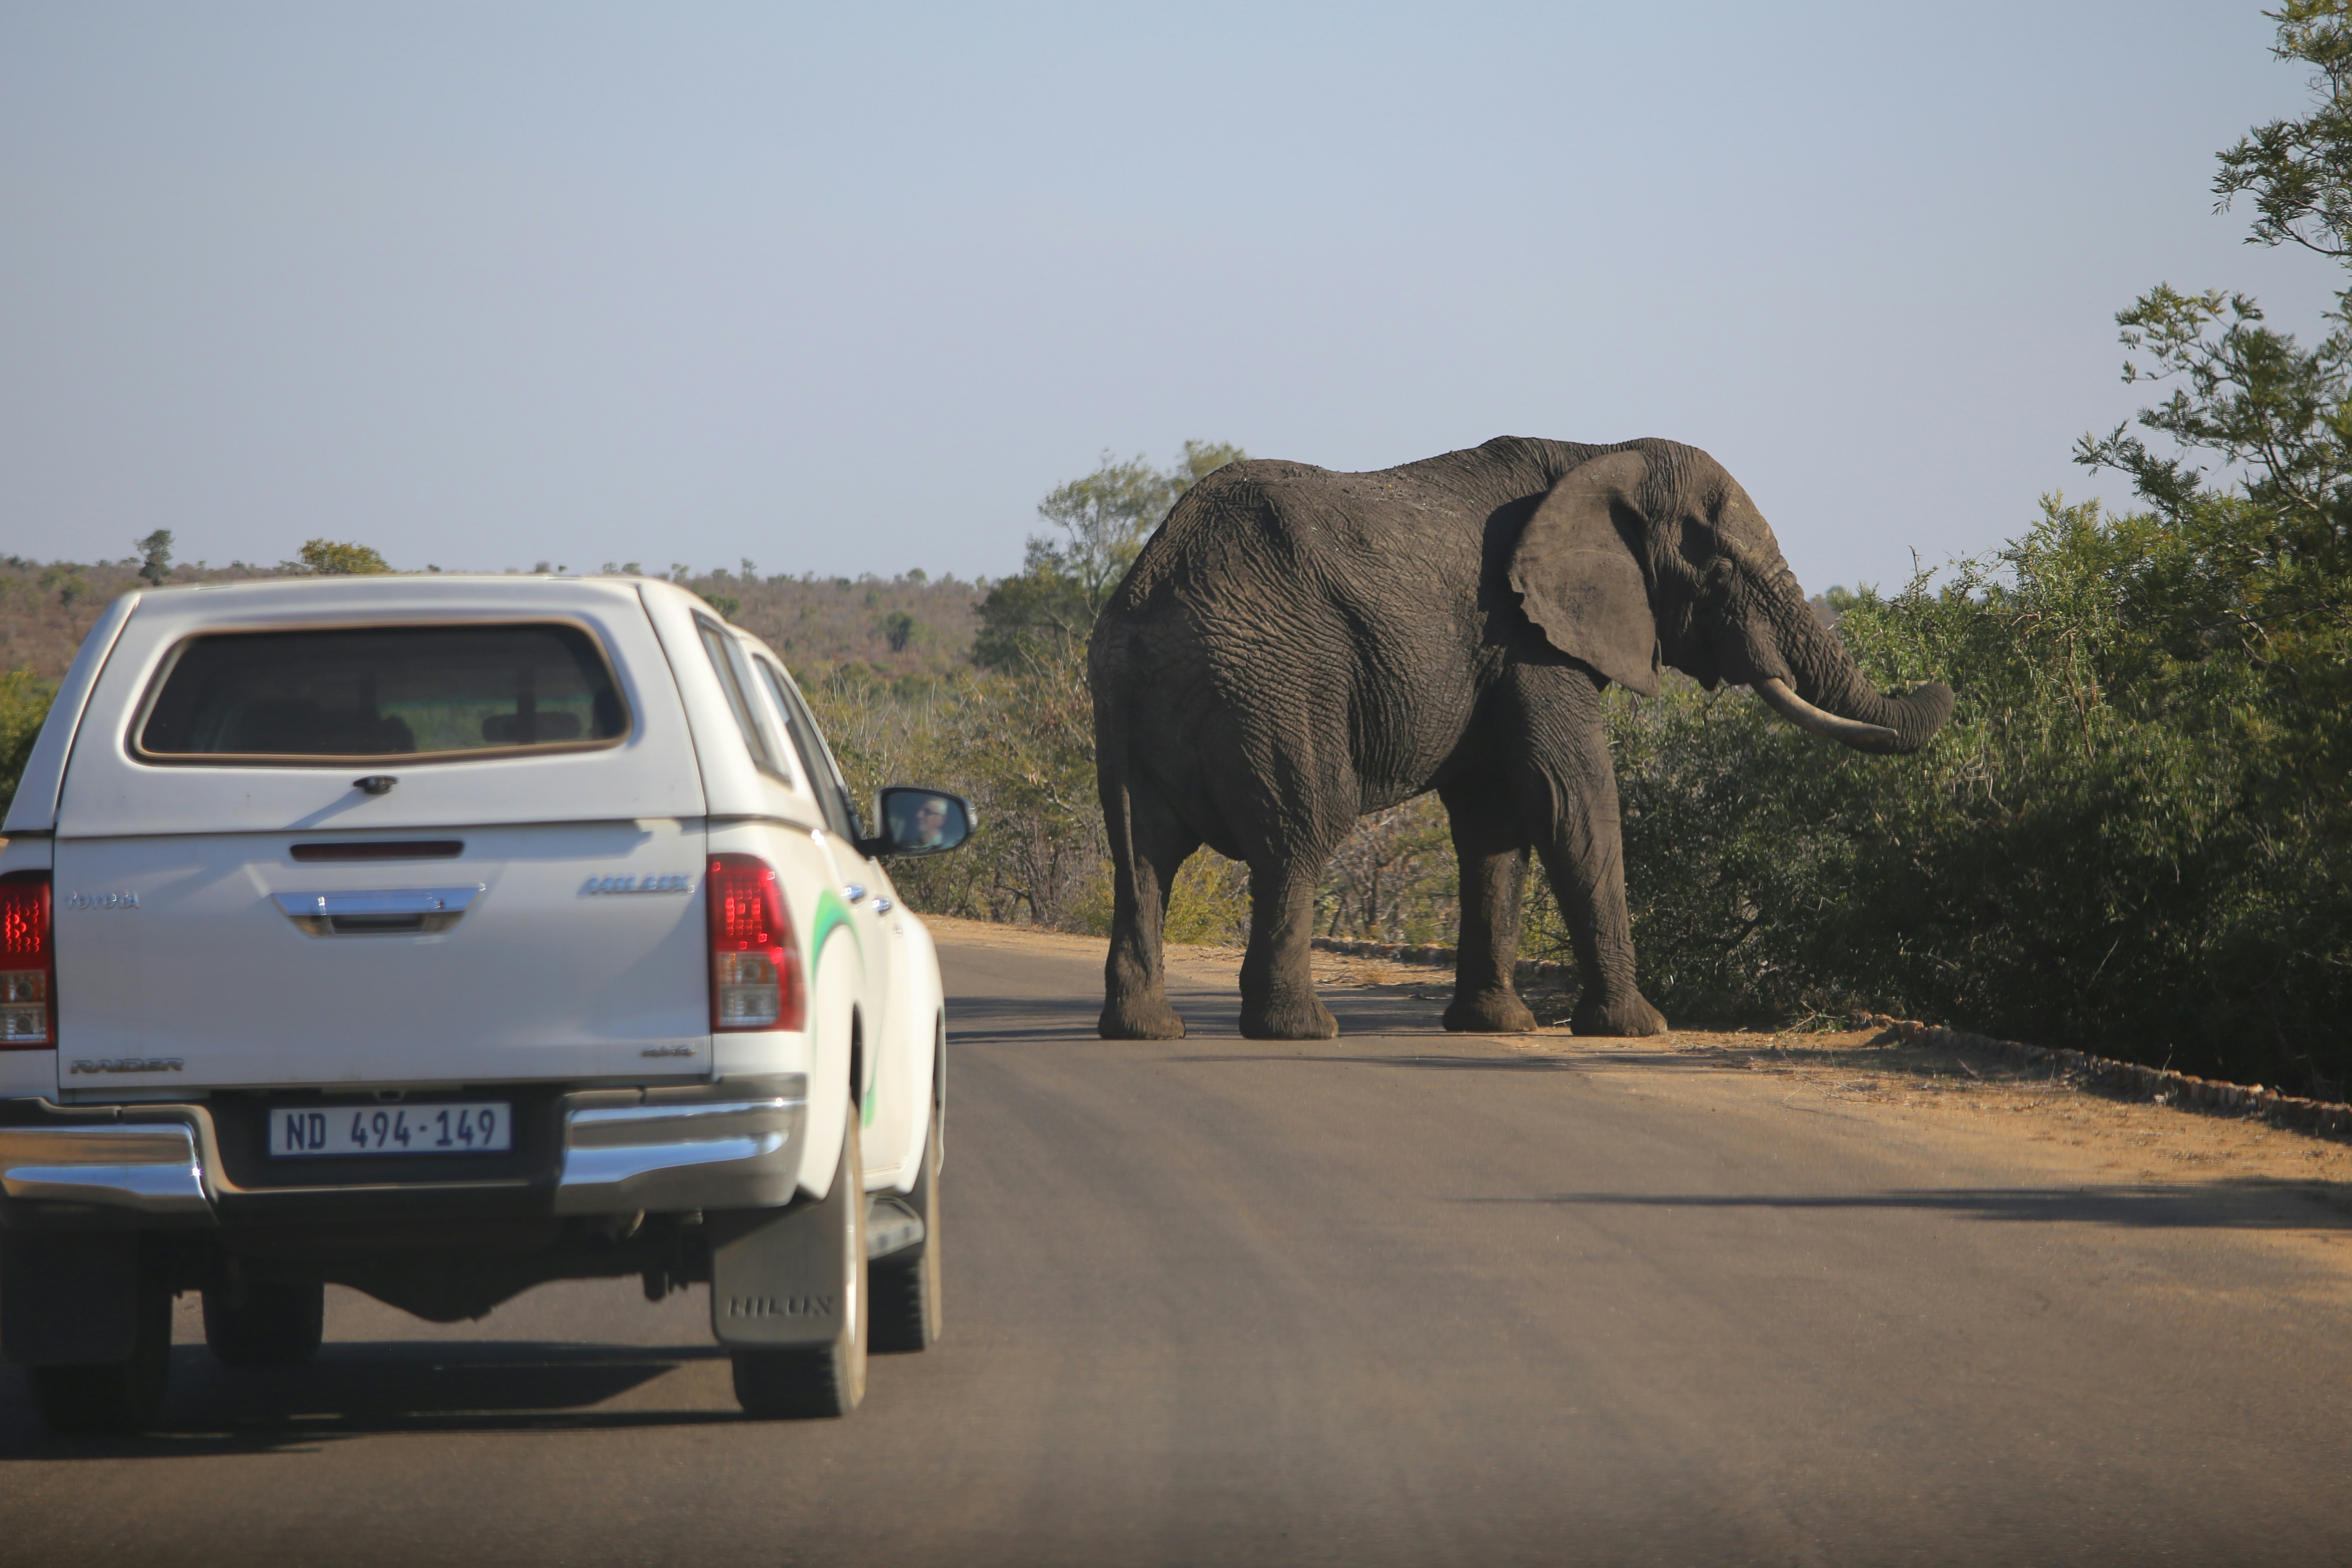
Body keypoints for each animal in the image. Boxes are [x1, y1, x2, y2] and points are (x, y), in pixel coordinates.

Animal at [1087, 436, 1953, 1041]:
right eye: (1723, 566)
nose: (1939, 684)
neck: (1598, 453)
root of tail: (1150, 588)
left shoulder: (1499, 654)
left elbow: (1495, 827)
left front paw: (1496, 1026)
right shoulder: (1529, 637)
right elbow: (1570, 799)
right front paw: (1637, 1028)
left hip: (1133, 698)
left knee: (1140, 853)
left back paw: (1145, 1032)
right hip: (1275, 683)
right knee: (1301, 830)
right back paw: (1301, 1031)